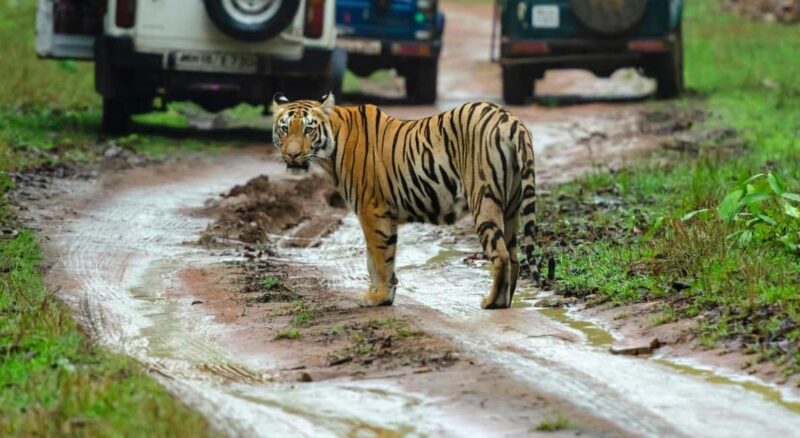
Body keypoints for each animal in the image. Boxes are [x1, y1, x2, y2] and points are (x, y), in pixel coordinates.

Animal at [271, 92, 537, 309]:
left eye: (308, 130)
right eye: (285, 129)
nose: (292, 155)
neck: (330, 150)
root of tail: (510, 120)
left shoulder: (371, 211)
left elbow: (379, 258)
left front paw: (378, 297)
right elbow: (375, 258)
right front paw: (380, 294)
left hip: (484, 199)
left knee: (501, 254)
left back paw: (492, 302)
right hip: (511, 206)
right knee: (514, 256)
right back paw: (506, 300)